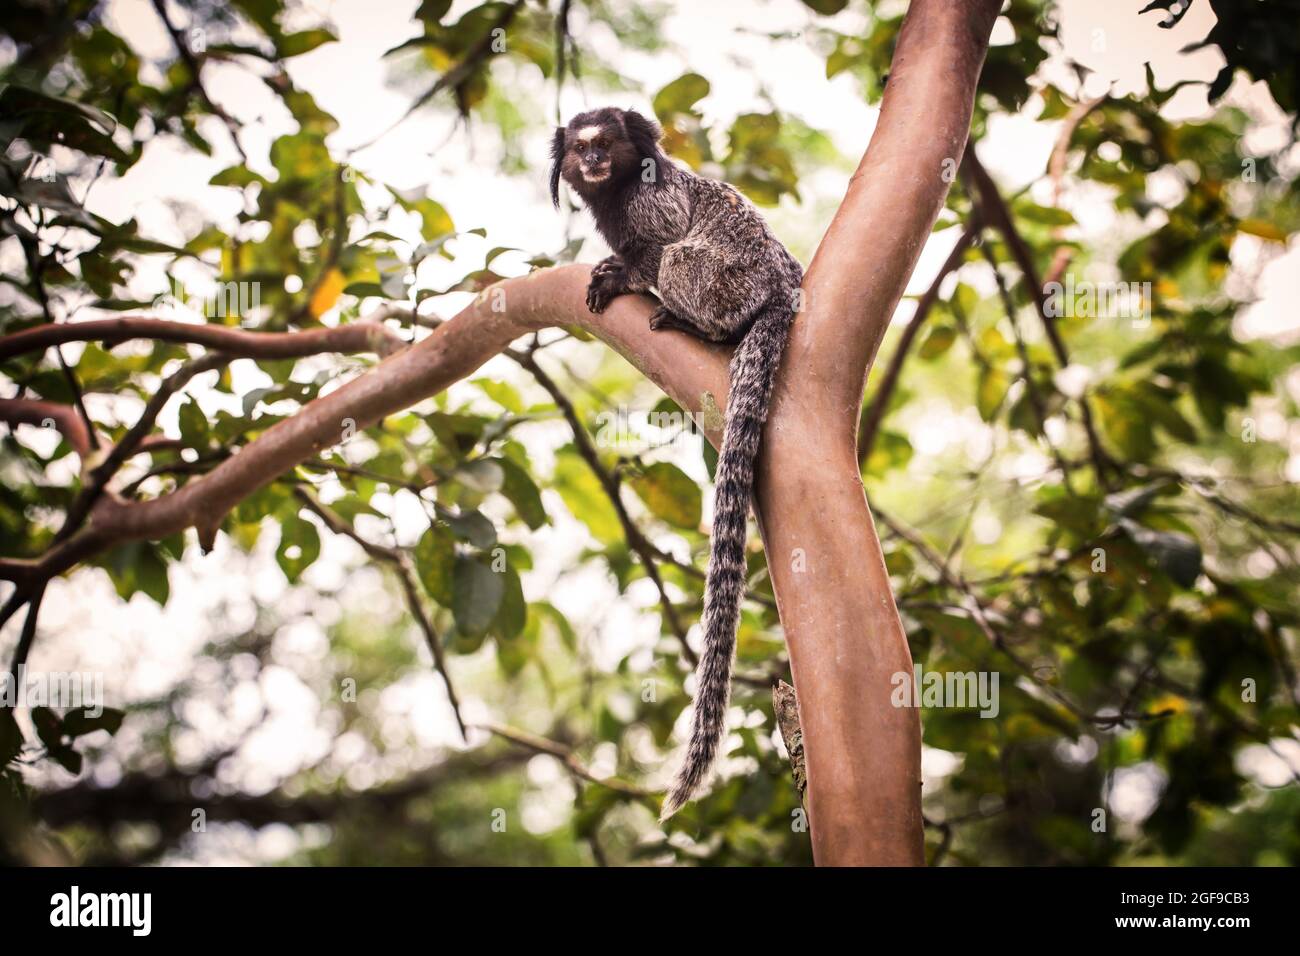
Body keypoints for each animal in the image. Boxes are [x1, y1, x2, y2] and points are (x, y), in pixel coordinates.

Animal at [550, 107, 803, 820]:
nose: (594, 161)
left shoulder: (651, 203)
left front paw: (622, 274)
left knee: (682, 259)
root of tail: (780, 291)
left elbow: (658, 243)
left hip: (731, 284)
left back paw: (699, 325)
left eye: (606, 143)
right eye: (581, 149)